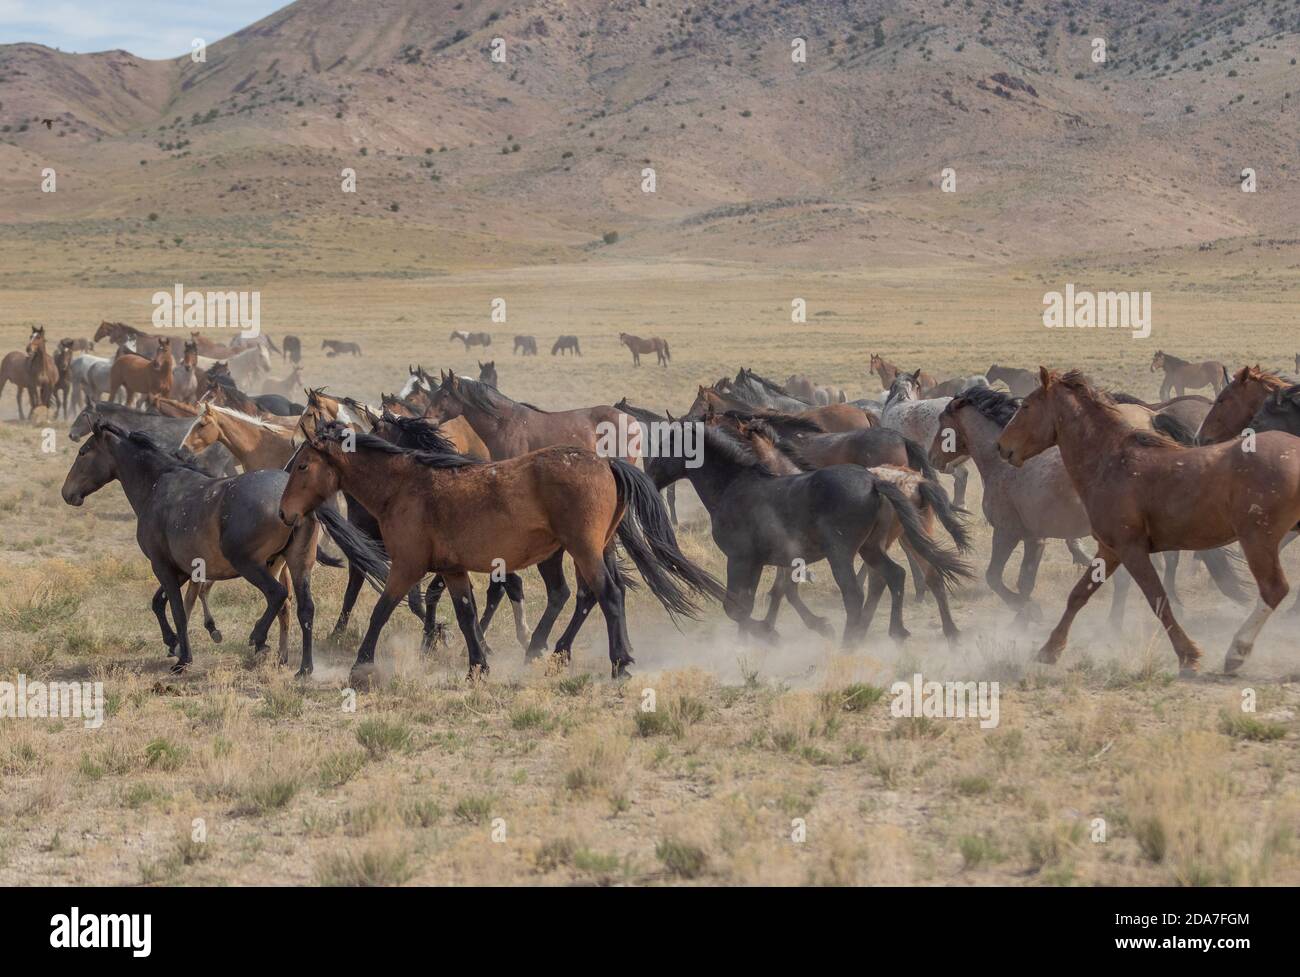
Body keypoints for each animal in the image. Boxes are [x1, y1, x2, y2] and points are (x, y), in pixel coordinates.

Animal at [279, 420, 723, 682]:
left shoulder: (407, 567)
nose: (284, 513)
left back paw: (618, 663)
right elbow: (465, 614)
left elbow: (381, 610)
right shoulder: (452, 570)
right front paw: (477, 665)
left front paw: (361, 664)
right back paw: (563, 652)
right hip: (588, 551)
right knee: (587, 595)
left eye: (302, 466)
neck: (404, 487)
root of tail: (607, 464)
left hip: (582, 550)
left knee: (607, 595)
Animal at [645, 420, 968, 644]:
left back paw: (849, 642)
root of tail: (876, 481)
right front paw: (750, 640)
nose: (648, 477)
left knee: (856, 593)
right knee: (897, 576)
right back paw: (901, 632)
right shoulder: (763, 562)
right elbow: (755, 601)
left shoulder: (740, 559)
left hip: (841, 554)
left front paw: (770, 634)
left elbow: (737, 606)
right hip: (872, 547)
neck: (734, 486)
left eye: (665, 448)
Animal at [997, 368, 1300, 675]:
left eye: (1025, 406)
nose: (1001, 445)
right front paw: (1049, 650)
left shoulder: (1131, 549)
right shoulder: (1110, 549)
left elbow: (1157, 598)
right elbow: (1079, 594)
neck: (1111, 462)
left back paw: (1236, 653)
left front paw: (1188, 655)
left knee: (1274, 589)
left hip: (1256, 540)